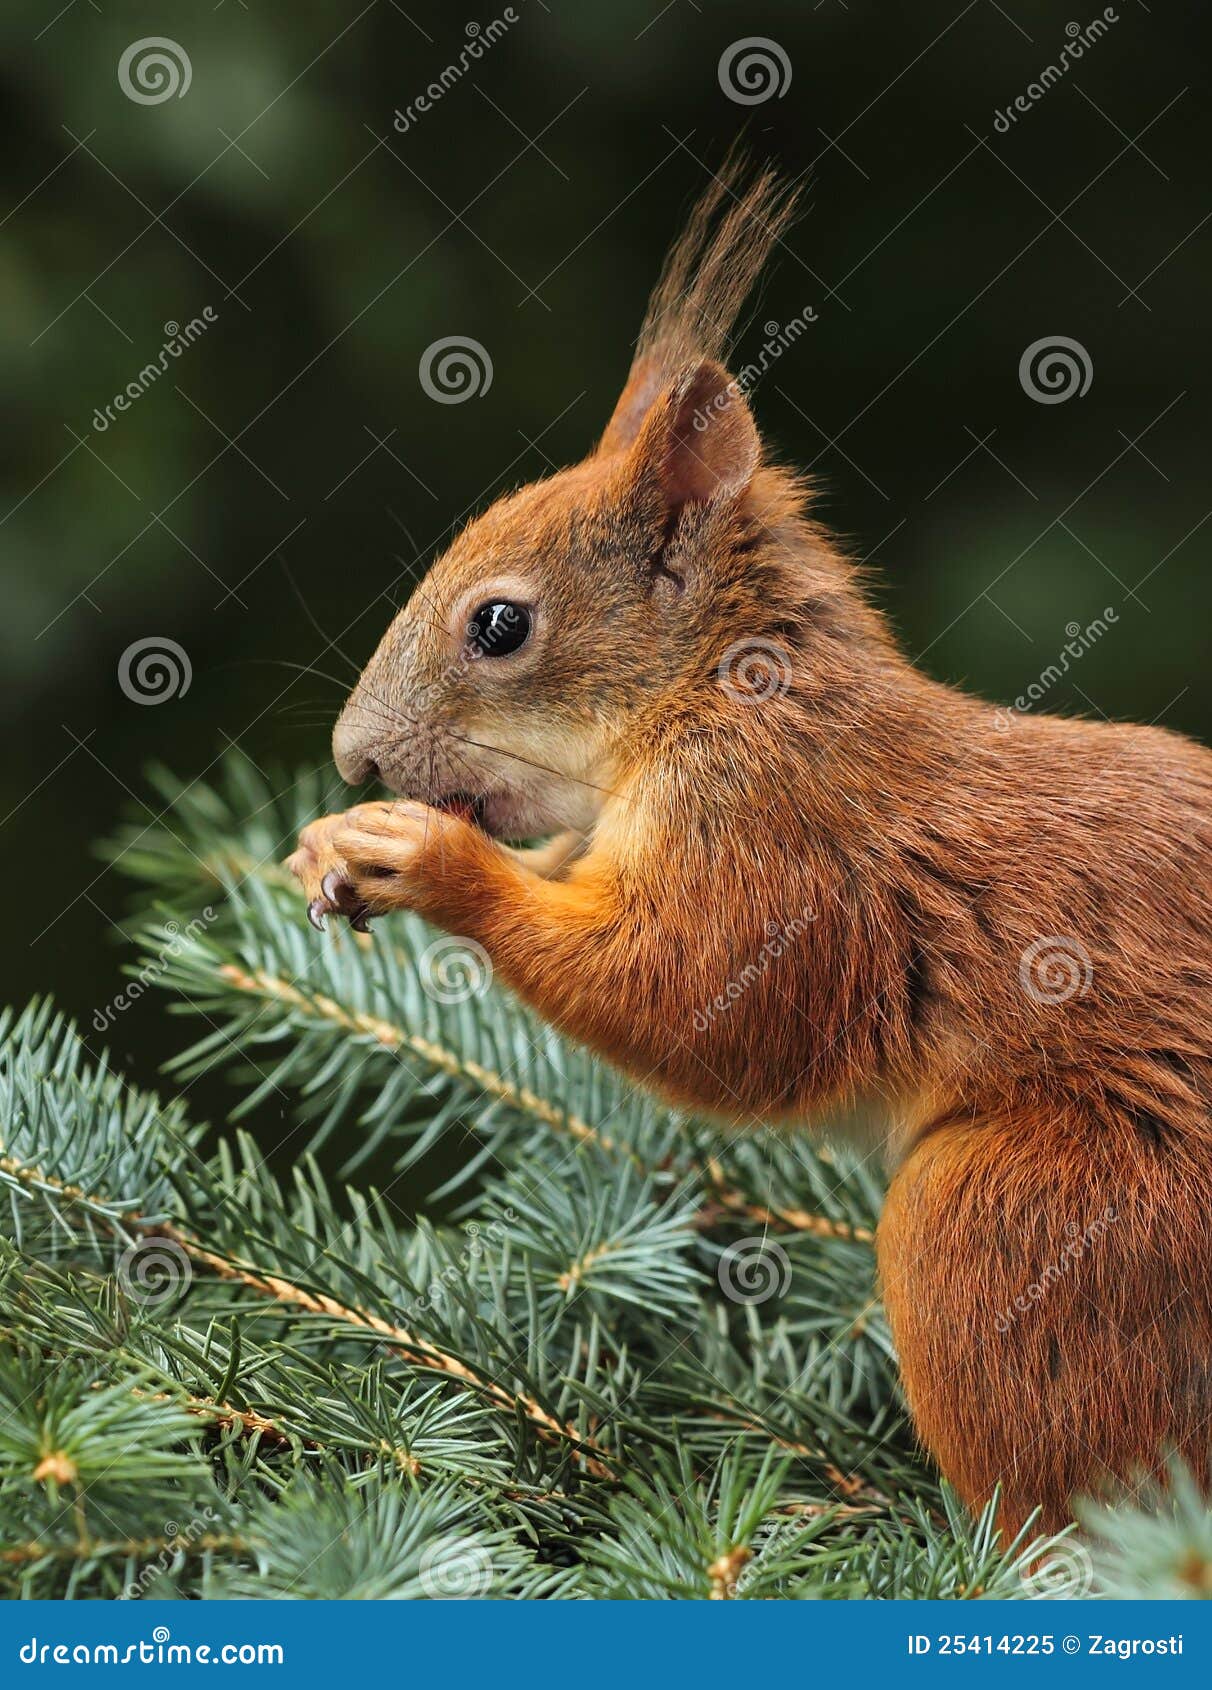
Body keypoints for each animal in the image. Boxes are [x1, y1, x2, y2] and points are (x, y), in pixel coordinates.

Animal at [288, 162, 1212, 1538]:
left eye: (499, 625)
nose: (354, 759)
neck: (715, 693)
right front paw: (320, 846)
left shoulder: (773, 834)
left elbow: (699, 999)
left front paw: (434, 862)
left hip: (1020, 1216)